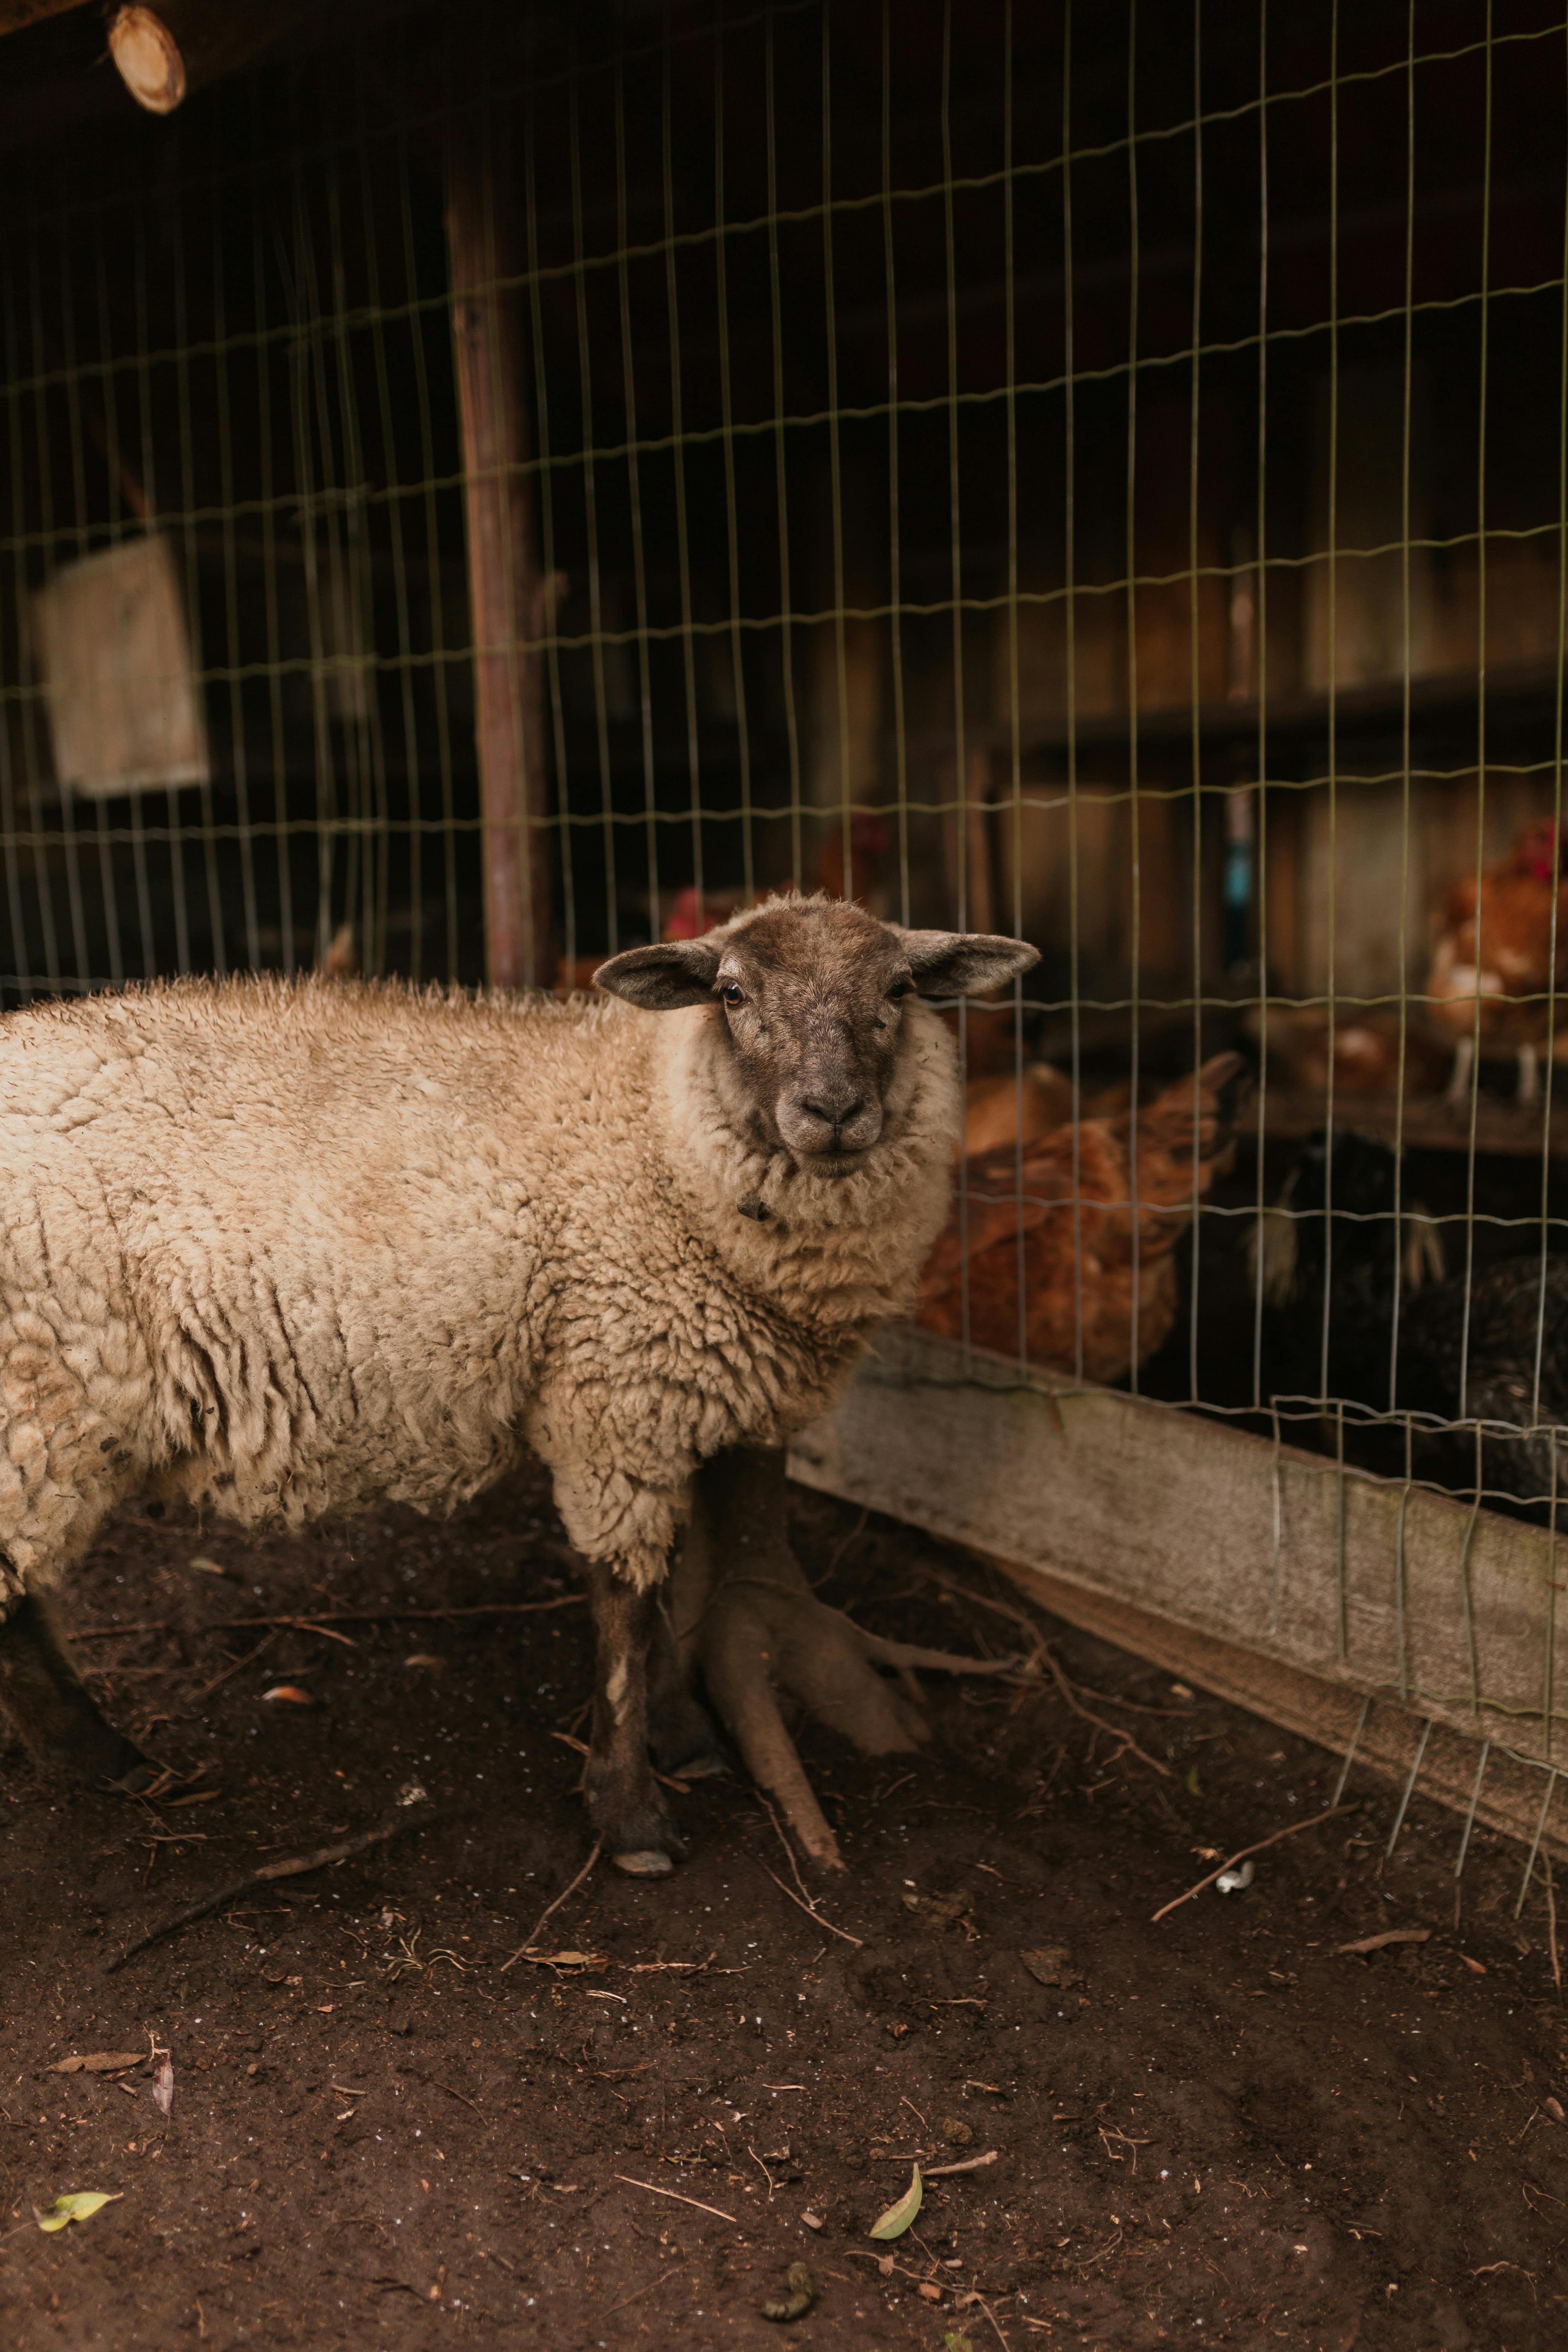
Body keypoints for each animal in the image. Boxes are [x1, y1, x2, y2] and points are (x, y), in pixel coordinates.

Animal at [0, 894, 1037, 1871]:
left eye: (898, 990)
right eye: (734, 994)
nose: (831, 1110)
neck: (652, 1129)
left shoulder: (674, 1400)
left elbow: (668, 1583)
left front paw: (684, 1737)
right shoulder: (617, 1393)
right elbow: (625, 1603)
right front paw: (630, 1813)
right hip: (37, 1402)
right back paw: (102, 1755)